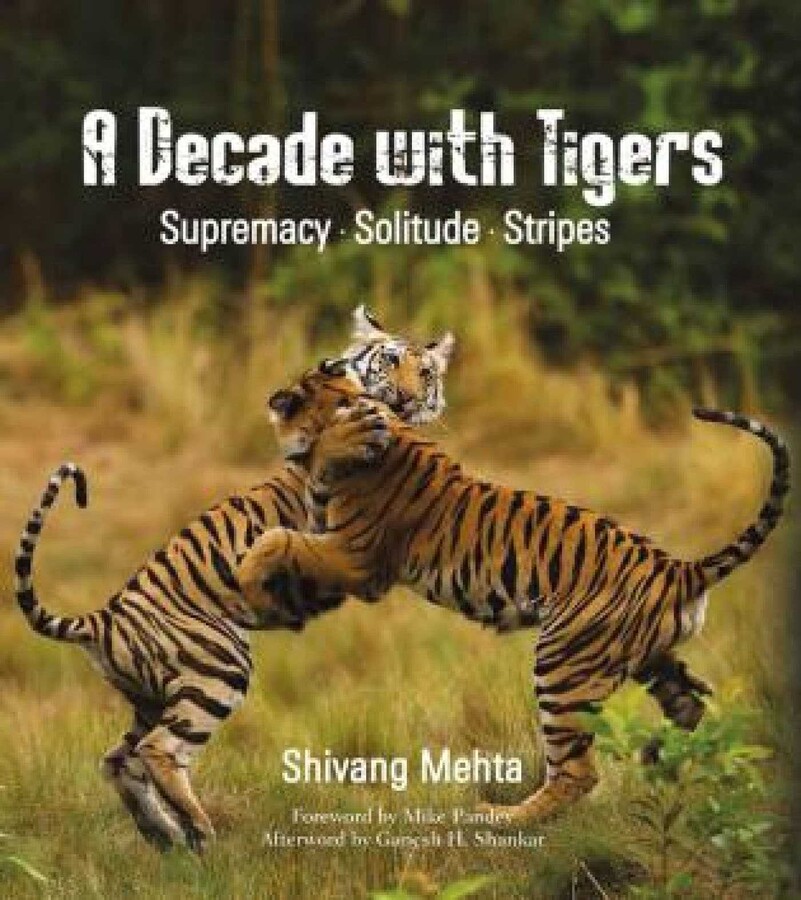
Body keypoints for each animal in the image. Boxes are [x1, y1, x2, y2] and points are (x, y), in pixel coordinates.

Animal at [11, 309, 453, 854]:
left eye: (426, 373)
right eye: (389, 361)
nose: (410, 398)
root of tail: (102, 617)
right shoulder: (320, 520)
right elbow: (324, 458)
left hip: (152, 697)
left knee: (119, 759)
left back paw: (166, 834)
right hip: (219, 668)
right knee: (158, 751)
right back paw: (200, 831)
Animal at [237, 365, 790, 824]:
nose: (271, 401)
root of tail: (681, 568)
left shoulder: (356, 558)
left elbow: (277, 537)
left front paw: (248, 577)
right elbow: (289, 525)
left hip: (563, 664)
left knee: (576, 772)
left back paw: (504, 817)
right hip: (650, 659)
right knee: (692, 710)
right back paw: (664, 764)